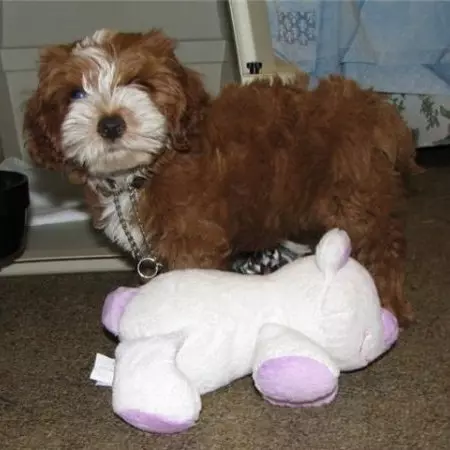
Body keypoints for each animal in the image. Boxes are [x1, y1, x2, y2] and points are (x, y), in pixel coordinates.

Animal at [22, 28, 422, 326]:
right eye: (75, 93)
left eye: (140, 84)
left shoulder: (192, 238)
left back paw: (388, 306)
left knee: (382, 249)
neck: (143, 172)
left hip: (356, 196)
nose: (109, 124)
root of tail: (370, 106)